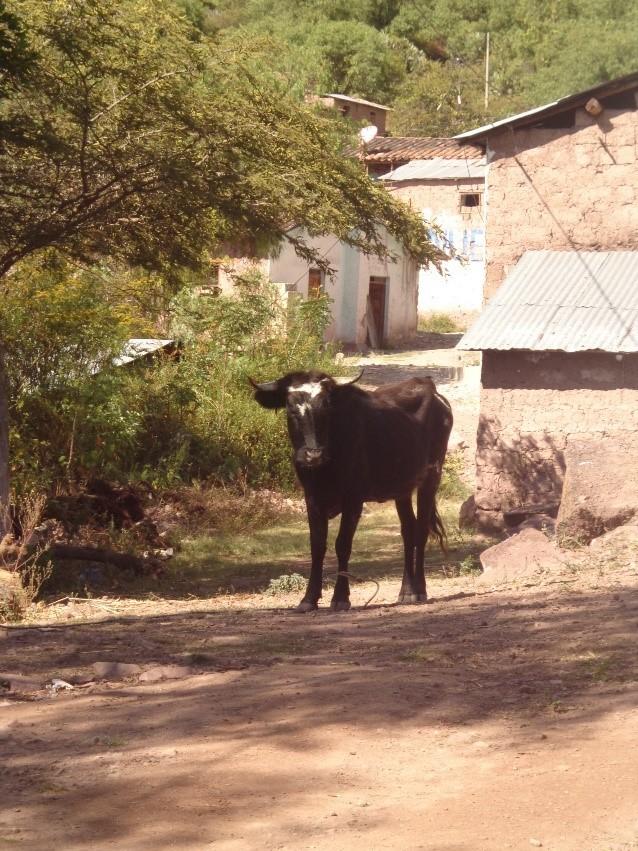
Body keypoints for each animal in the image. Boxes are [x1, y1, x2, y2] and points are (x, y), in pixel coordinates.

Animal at [251, 370, 453, 612]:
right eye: (291, 408)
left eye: (326, 407)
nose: (313, 455)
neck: (325, 467)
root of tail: (430, 389)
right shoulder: (312, 498)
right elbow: (317, 545)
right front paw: (308, 599)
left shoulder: (353, 499)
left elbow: (342, 544)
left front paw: (340, 597)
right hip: (401, 488)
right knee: (408, 530)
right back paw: (407, 591)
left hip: (431, 477)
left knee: (421, 530)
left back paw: (420, 590)